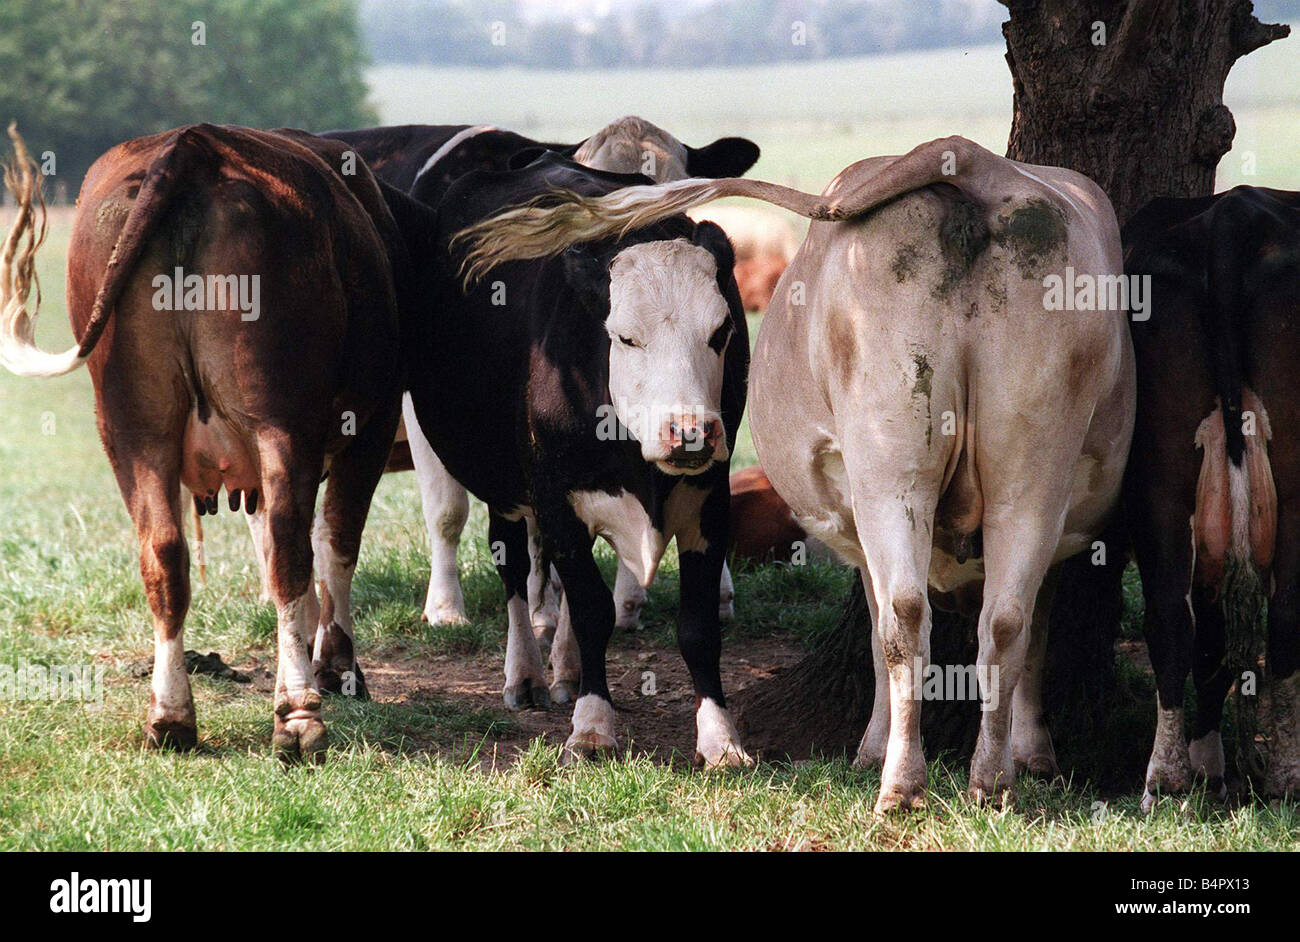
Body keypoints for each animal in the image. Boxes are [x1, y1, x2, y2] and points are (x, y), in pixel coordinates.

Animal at [0, 124, 412, 761]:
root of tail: (193, 147)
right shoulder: (368, 425)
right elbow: (335, 543)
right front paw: (337, 667)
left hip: (134, 425)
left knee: (165, 554)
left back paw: (171, 717)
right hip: (278, 419)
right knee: (291, 548)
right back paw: (298, 717)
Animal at [377, 149, 752, 763]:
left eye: (721, 332)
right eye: (625, 337)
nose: (691, 432)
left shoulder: (708, 502)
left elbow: (697, 627)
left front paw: (720, 736)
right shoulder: (555, 499)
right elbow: (594, 610)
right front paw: (593, 725)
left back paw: (567, 670)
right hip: (505, 485)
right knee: (513, 567)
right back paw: (526, 673)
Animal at [459, 136, 1135, 811]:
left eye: (719, 333)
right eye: (625, 339)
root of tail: (973, 162)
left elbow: (884, 628)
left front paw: (879, 748)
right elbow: (1025, 630)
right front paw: (1031, 753)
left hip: (893, 475)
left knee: (909, 618)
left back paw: (901, 784)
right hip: (1028, 481)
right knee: (1001, 621)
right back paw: (990, 781)